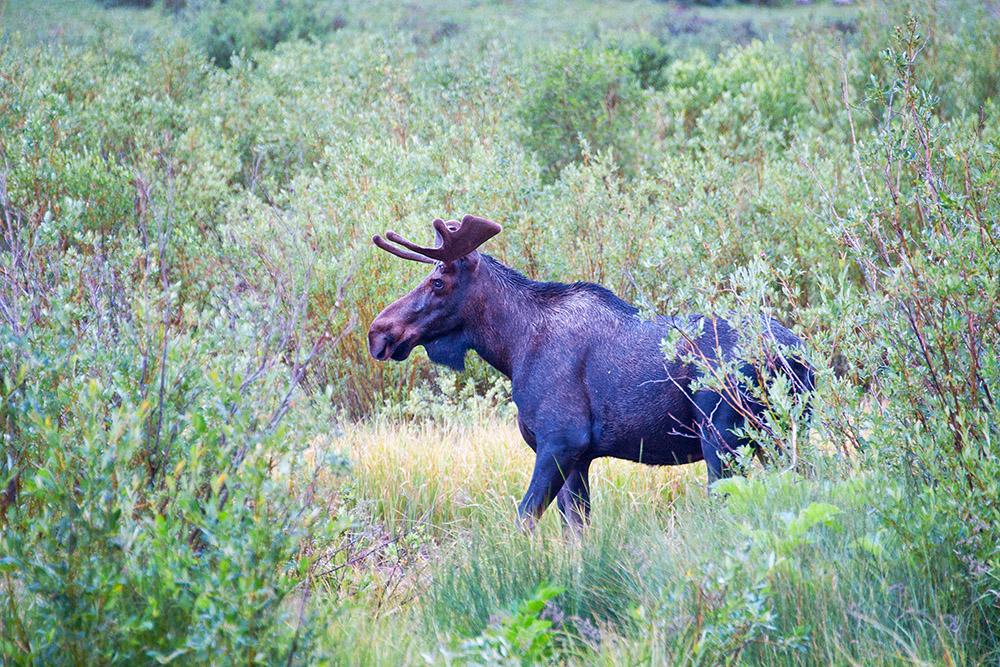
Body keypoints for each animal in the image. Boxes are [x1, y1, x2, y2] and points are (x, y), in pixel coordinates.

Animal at [368, 215, 815, 530]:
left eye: (438, 282)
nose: (379, 332)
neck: (513, 348)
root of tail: (797, 356)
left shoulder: (561, 440)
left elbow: (525, 517)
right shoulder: (580, 458)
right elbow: (576, 527)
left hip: (722, 434)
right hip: (783, 434)